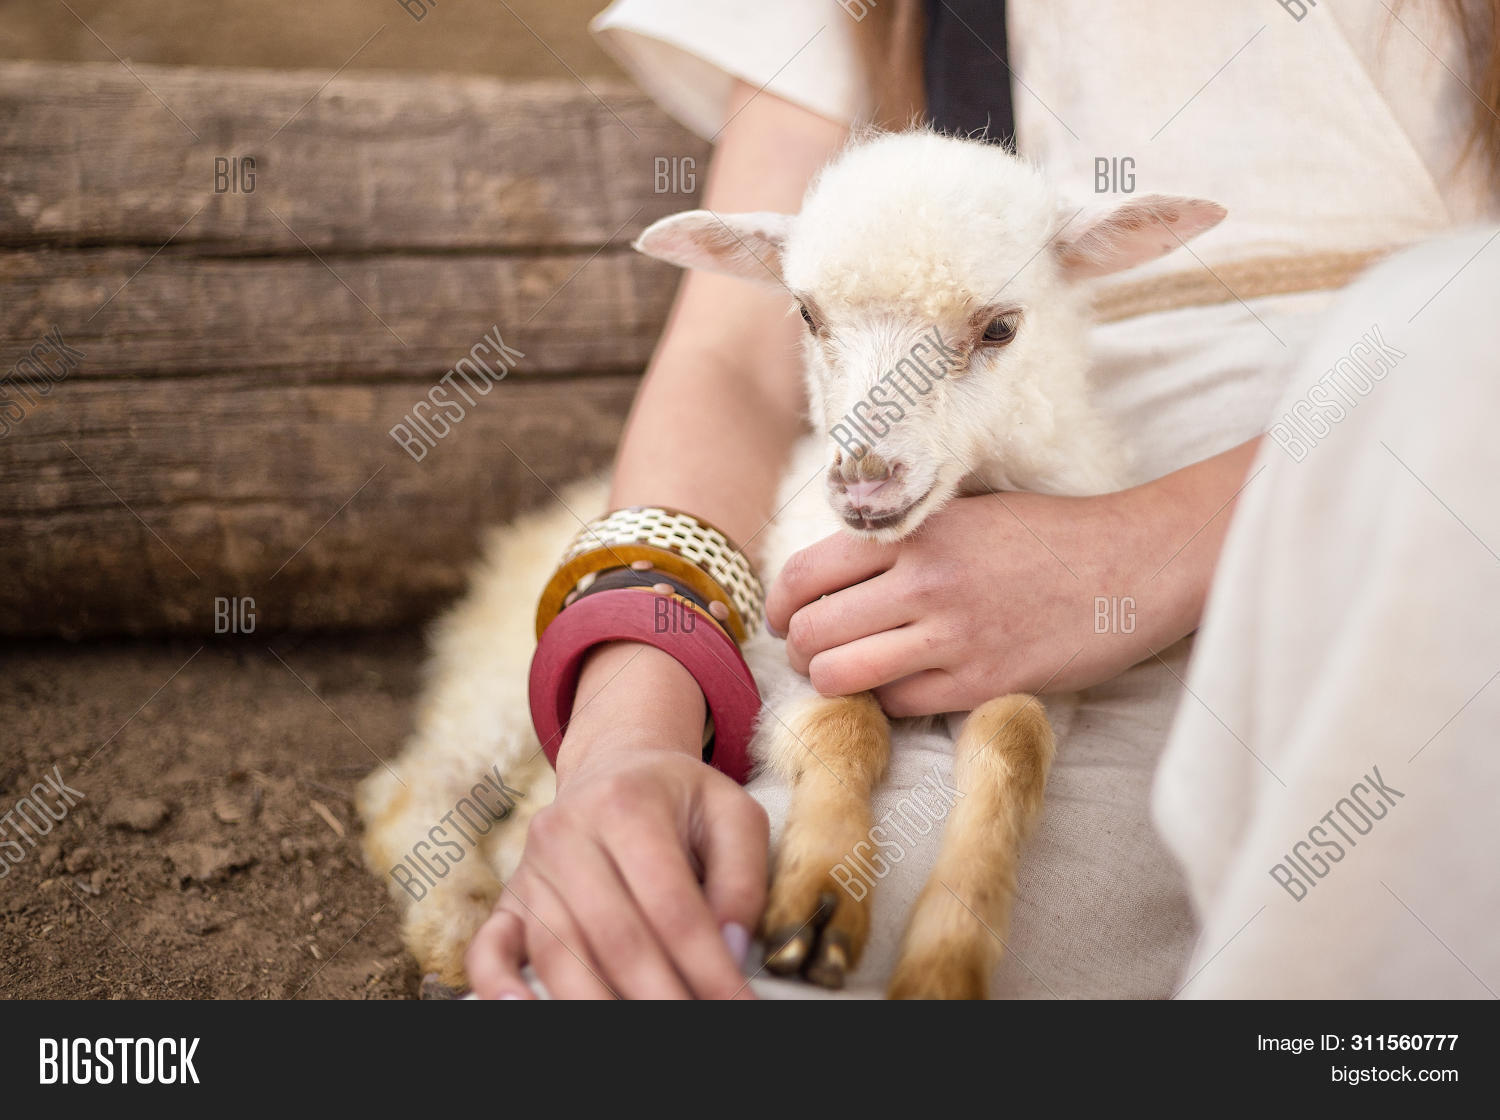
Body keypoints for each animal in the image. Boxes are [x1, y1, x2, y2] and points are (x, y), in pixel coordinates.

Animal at [357, 128, 1225, 998]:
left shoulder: (1041, 666)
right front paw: (821, 894)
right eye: (808, 315)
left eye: (1001, 330)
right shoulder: (782, 651)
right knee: (409, 786)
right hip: (505, 676)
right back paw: (457, 918)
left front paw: (946, 958)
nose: (865, 481)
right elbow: (847, 727)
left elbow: (1013, 747)